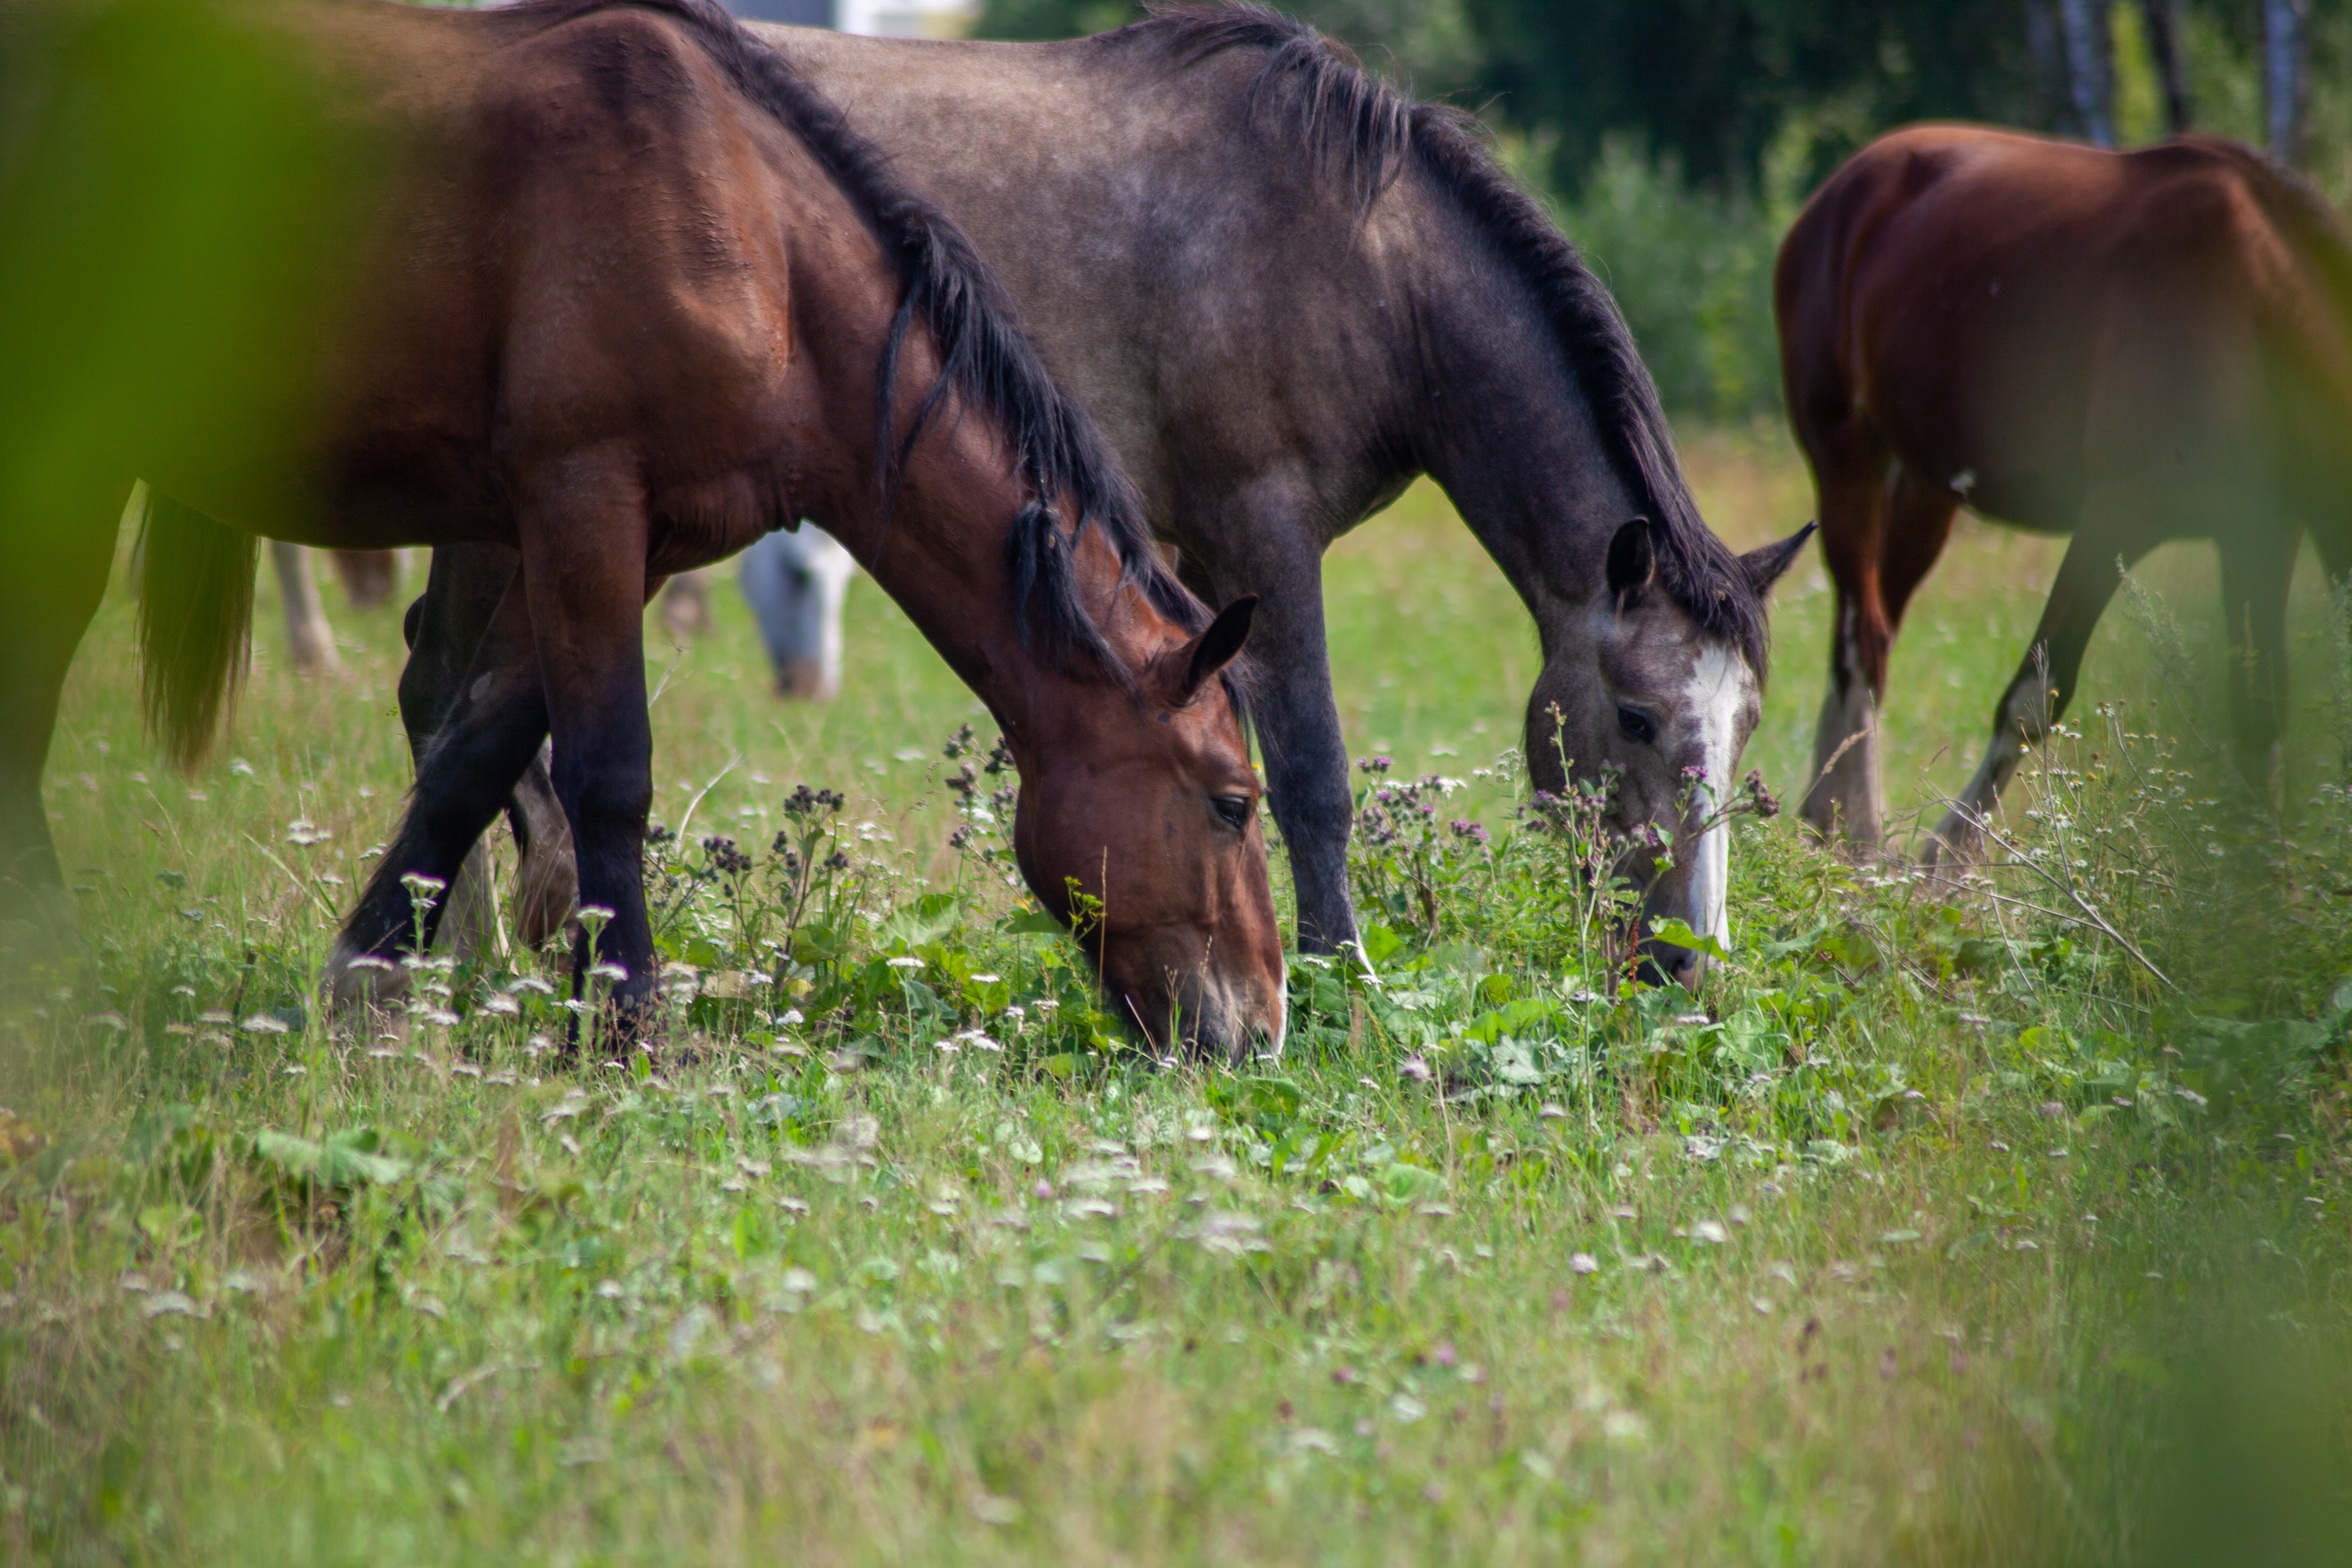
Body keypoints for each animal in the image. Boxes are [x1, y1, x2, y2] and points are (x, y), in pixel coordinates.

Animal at [0, 0, 1289, 1063]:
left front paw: (372, 977)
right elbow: (610, 770)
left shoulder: (628, 541)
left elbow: (476, 750)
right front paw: (621, 1028)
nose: (1264, 1027)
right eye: (1231, 803)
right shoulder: (582, 502)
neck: (752, 242)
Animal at [400, 9, 1816, 992]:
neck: (1358, 255)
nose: (1689, 962)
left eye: (1748, 725)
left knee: (448, 694)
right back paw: (465, 952)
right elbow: (1312, 770)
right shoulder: (1261, 527)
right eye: (1636, 718)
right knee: (445, 696)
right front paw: (1341, 977)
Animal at [1778, 123, 2352, 860]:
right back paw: (1862, 838)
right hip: (1847, 457)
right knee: (1864, 645)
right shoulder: (2117, 517)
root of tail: (1840, 191)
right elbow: (2034, 698)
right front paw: (1941, 863)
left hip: (1925, 491)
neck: (2258, 303)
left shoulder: (2263, 530)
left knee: (1869, 626)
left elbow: (2260, 708)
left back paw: (1826, 822)